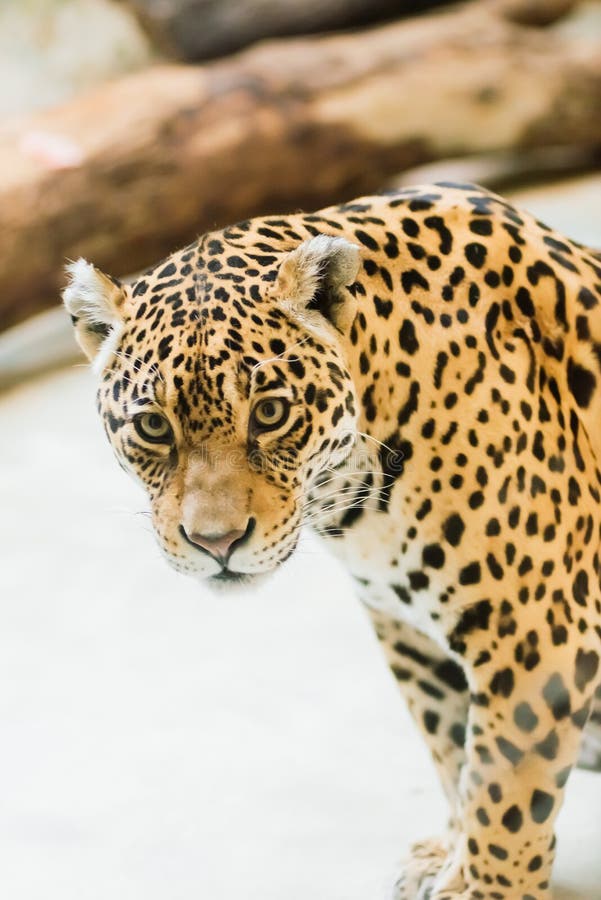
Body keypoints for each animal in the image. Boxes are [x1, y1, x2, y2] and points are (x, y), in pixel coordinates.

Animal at [63, 183, 601, 899]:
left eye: (270, 412)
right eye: (152, 426)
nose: (216, 542)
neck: (357, 494)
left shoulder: (533, 630)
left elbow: (503, 791)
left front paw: (487, 886)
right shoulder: (402, 625)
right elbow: (450, 751)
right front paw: (449, 855)